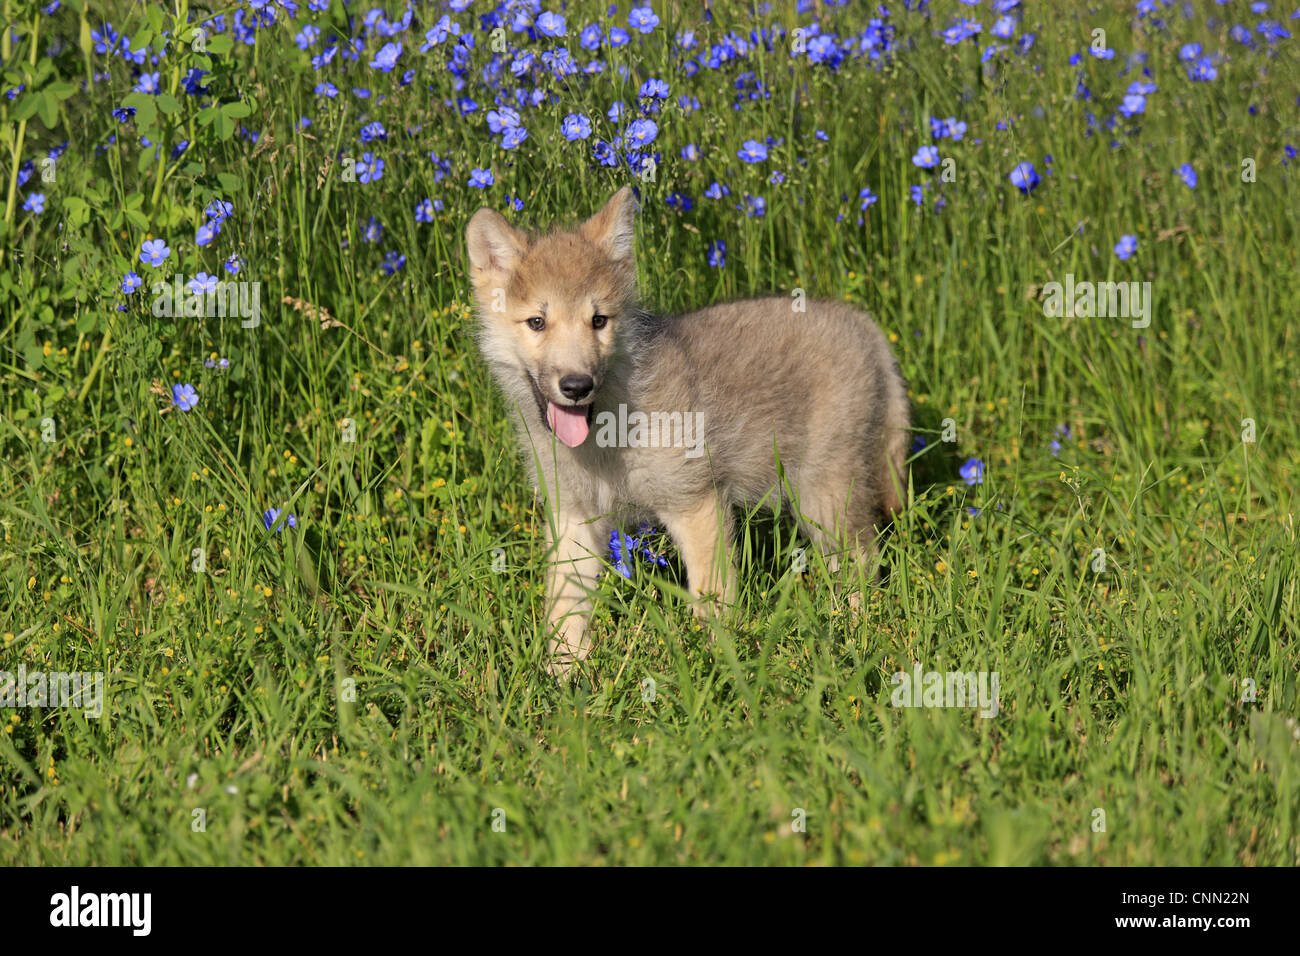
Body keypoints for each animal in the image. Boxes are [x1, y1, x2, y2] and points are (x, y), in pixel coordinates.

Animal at [466, 187, 909, 677]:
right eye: (537, 323)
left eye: (599, 321)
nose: (577, 386)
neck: (607, 434)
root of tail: (864, 324)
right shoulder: (574, 518)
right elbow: (565, 614)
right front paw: (565, 679)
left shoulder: (695, 504)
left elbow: (712, 606)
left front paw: (718, 675)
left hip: (824, 499)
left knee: (863, 567)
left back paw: (855, 638)